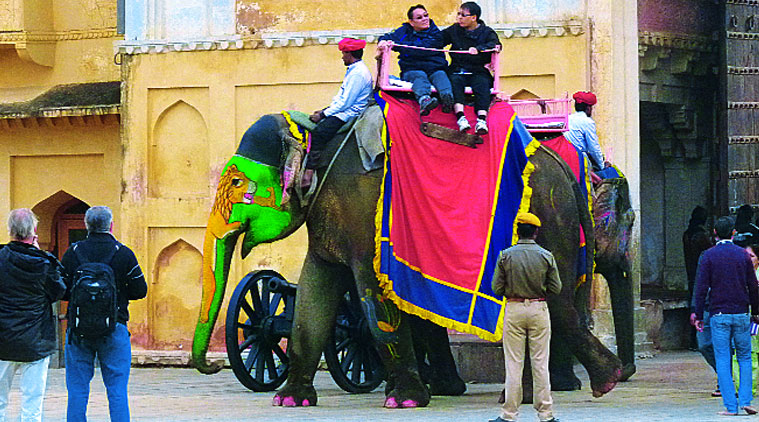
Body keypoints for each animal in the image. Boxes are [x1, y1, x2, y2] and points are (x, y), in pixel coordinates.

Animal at [191, 108, 623, 408]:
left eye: (236, 182)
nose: (211, 365)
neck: (316, 131)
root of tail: (565, 166)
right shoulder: (328, 213)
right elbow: (315, 290)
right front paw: (289, 400)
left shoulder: (365, 206)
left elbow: (373, 296)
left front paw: (406, 400)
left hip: (550, 217)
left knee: (555, 301)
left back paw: (602, 381)